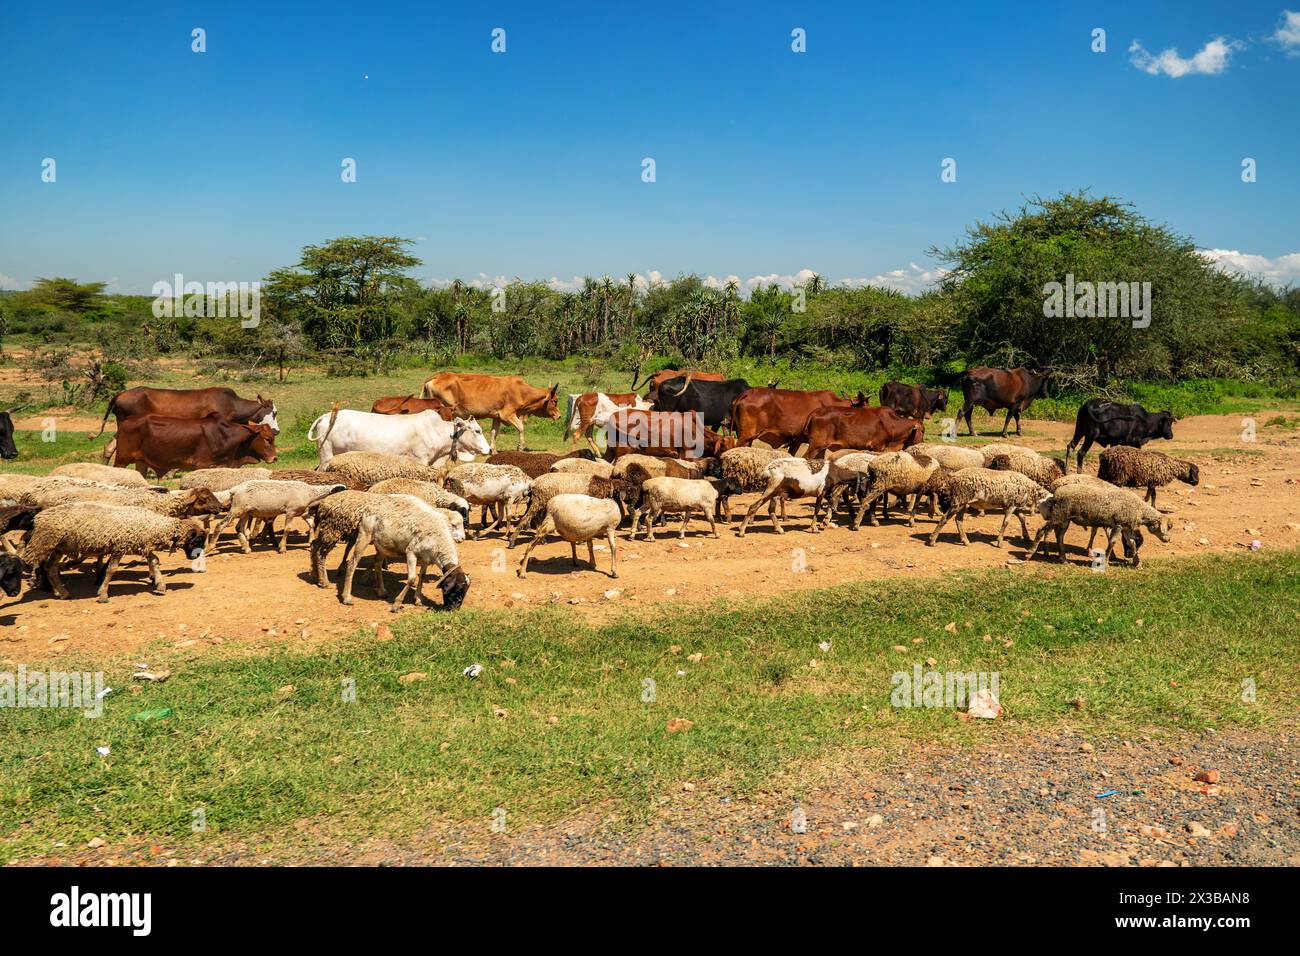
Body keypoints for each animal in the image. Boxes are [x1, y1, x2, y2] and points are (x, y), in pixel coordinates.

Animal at [113, 413, 278, 477]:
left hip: (141, 462)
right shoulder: (201, 465)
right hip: (121, 460)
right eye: (268, 439)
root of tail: (124, 422)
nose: (275, 458)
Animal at [420, 373, 560, 452]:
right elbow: (521, 427)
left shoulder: (497, 416)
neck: (520, 391)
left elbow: (494, 433)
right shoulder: (507, 415)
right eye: (555, 401)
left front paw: (493, 450)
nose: (559, 416)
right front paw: (520, 448)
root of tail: (438, 376)